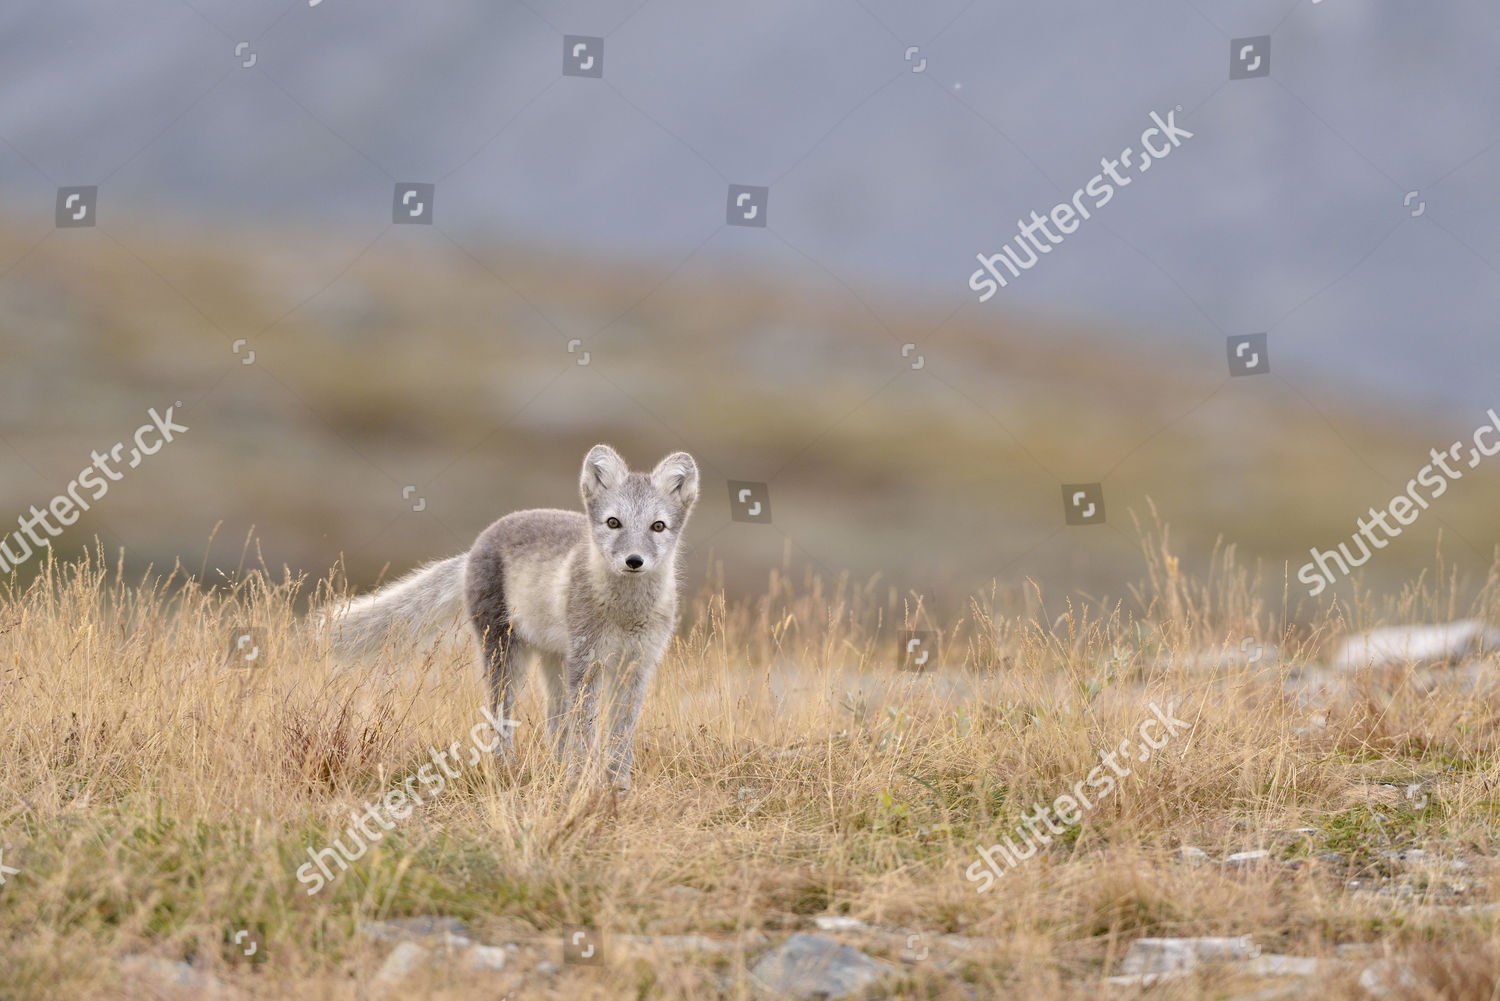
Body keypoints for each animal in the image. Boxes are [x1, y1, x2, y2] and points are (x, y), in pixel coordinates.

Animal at [324, 444, 699, 790]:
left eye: (658, 526)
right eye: (613, 522)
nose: (634, 560)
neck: (626, 612)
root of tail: (475, 547)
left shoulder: (637, 664)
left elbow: (621, 731)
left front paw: (617, 785)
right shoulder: (588, 661)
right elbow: (586, 728)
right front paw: (582, 783)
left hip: (554, 660)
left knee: (554, 721)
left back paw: (557, 767)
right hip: (505, 652)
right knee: (500, 713)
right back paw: (508, 768)